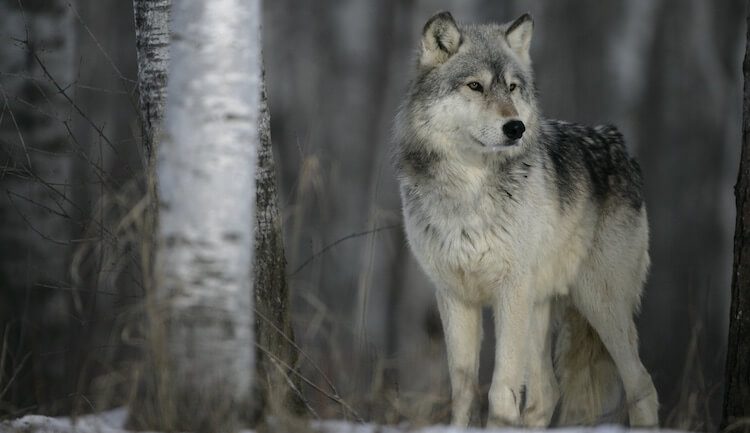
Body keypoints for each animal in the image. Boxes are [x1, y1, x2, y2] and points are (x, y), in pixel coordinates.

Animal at [393, 12, 659, 428]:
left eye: (513, 88)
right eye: (475, 86)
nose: (515, 127)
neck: (469, 190)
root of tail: (620, 145)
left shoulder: (510, 291)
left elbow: (500, 389)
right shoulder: (454, 296)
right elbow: (463, 390)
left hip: (599, 304)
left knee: (642, 385)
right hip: (540, 308)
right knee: (546, 393)